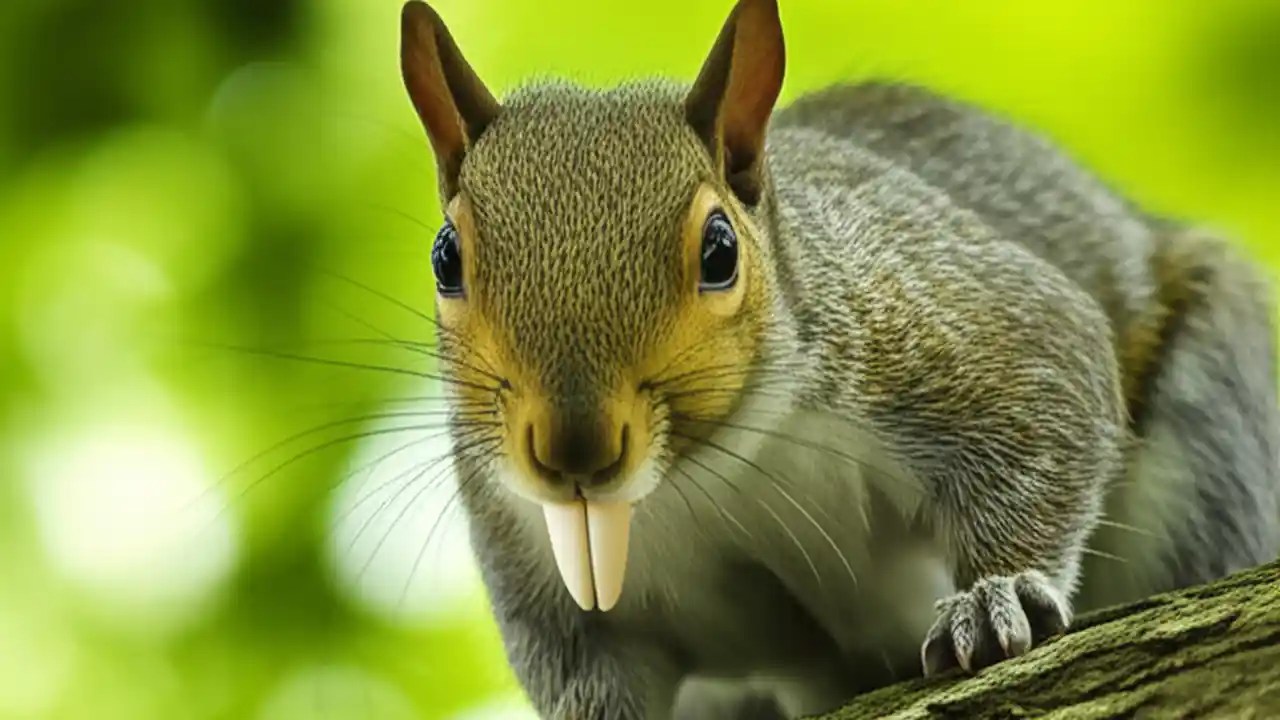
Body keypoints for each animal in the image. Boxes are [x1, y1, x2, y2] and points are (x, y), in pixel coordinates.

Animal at [397, 0, 1280, 718]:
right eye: (445, 258)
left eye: (720, 251)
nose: (573, 454)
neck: (709, 471)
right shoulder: (532, 553)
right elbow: (588, 667)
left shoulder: (935, 321)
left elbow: (1047, 388)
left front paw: (996, 596)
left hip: (1214, 437)